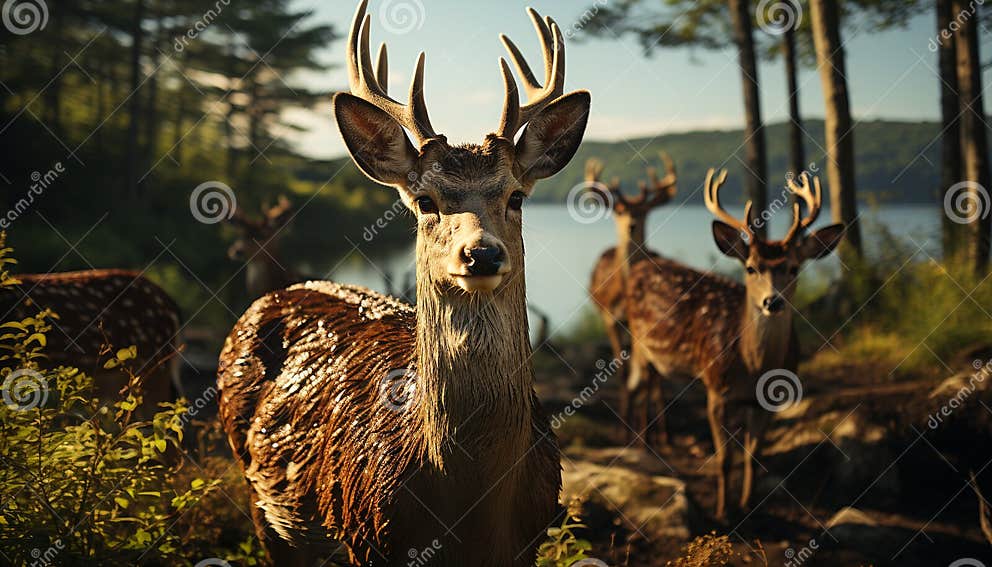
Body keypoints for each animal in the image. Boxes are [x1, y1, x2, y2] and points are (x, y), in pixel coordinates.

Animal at [216, 2, 590, 565]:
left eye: (517, 196)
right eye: (425, 200)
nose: (481, 253)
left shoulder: (529, 540)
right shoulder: (367, 536)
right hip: (255, 486)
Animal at [585, 153, 676, 445]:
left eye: (644, 210)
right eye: (621, 211)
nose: (632, 225)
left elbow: (646, 375)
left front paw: (644, 435)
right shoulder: (609, 318)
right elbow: (624, 373)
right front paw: (623, 432)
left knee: (654, 374)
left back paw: (662, 433)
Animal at [624, 170, 844, 520]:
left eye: (793, 267)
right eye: (751, 267)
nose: (772, 301)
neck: (753, 368)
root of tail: (639, 266)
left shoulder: (766, 402)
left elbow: (753, 457)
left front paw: (747, 505)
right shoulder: (715, 388)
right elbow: (725, 459)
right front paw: (722, 512)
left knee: (650, 384)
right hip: (638, 342)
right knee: (638, 385)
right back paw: (640, 447)